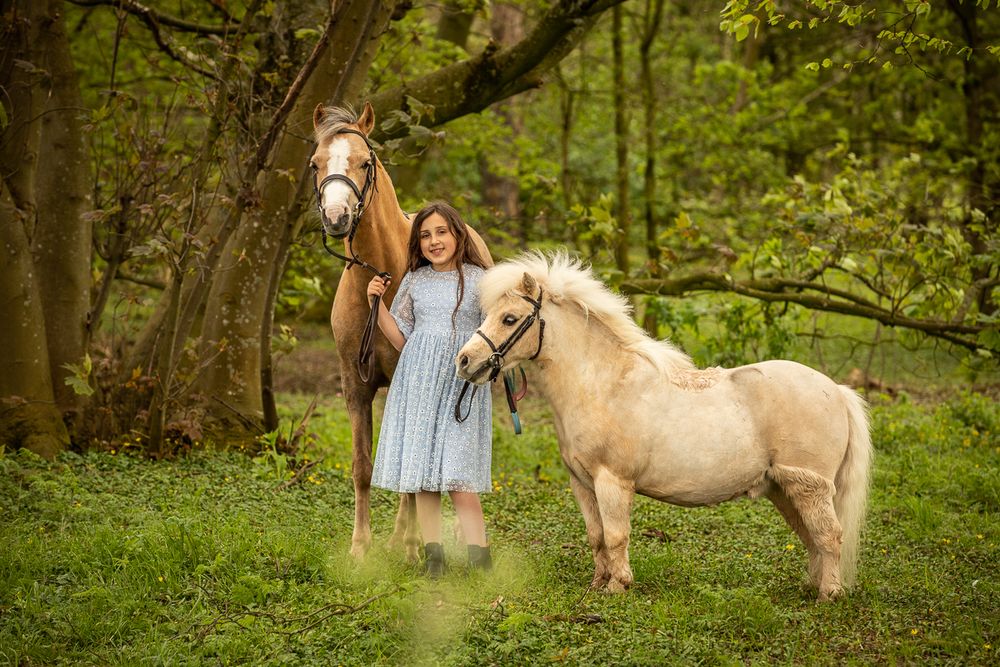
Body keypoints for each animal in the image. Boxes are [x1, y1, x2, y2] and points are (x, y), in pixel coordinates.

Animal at [455, 252, 872, 601]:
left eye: (509, 318)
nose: (464, 362)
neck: (603, 384)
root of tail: (836, 390)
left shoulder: (612, 482)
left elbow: (616, 536)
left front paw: (617, 587)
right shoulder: (582, 484)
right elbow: (596, 537)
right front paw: (597, 584)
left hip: (808, 486)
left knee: (829, 536)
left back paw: (828, 595)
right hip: (784, 488)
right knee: (812, 537)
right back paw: (814, 586)